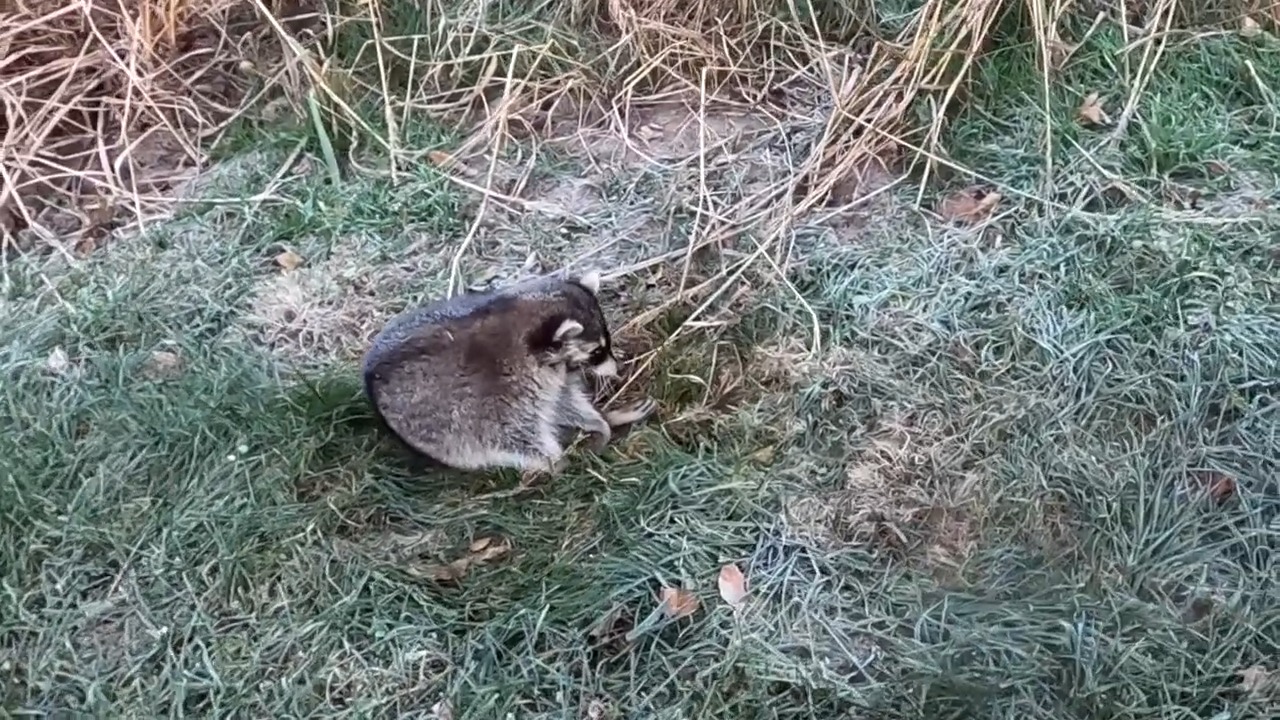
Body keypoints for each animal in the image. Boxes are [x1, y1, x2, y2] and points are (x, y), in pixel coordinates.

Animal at [362, 269, 656, 474]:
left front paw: (600, 420)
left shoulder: (552, 374)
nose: (616, 369)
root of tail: (370, 382)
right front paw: (563, 459)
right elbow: (516, 434)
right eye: (596, 352)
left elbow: (563, 400)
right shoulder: (501, 392)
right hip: (432, 426)